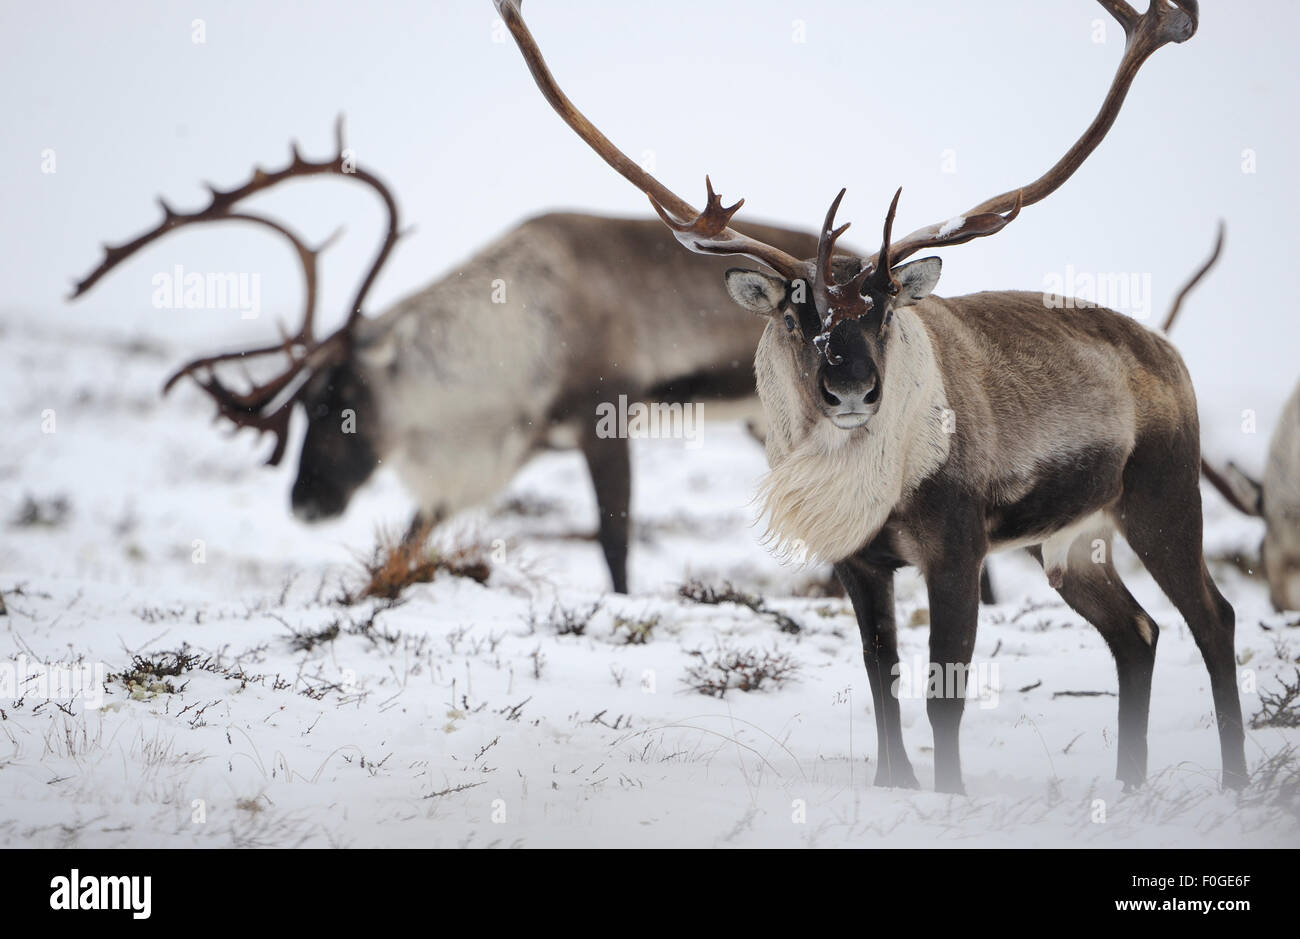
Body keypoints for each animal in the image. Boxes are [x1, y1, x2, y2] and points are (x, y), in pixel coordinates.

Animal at [68, 120, 825, 593]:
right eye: (309, 402)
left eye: (342, 399)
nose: (306, 504)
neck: (520, 328)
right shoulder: (489, 460)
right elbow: (409, 538)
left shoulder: (603, 420)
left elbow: (614, 545)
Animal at [497, 0, 1247, 793]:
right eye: (794, 315)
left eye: (885, 311)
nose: (852, 388)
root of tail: (1167, 352)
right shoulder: (858, 560)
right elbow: (879, 674)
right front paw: (898, 786)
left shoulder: (957, 550)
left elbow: (943, 693)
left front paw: (948, 793)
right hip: (1072, 542)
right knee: (1138, 632)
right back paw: (1130, 781)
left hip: (1162, 497)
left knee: (1213, 617)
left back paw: (1234, 779)